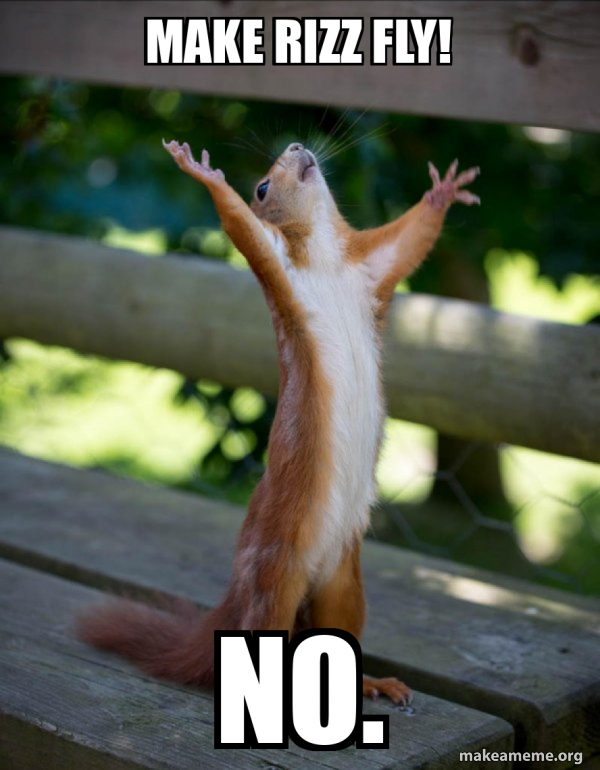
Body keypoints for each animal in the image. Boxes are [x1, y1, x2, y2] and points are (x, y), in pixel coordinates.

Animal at [78, 139, 479, 706]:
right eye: (262, 187)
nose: (296, 146)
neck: (327, 259)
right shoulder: (277, 265)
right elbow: (240, 226)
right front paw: (203, 173)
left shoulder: (372, 267)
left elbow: (410, 239)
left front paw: (442, 191)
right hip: (274, 580)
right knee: (267, 637)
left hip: (344, 588)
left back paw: (369, 684)